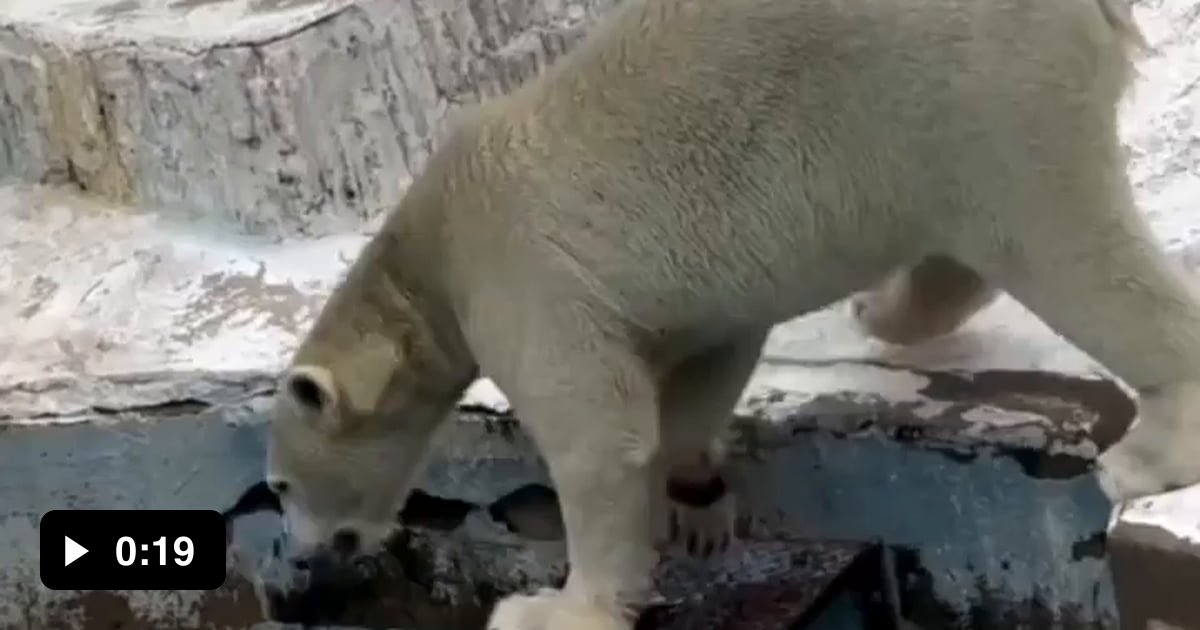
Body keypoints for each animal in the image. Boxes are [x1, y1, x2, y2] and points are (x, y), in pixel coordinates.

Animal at [262, 0, 1198, 627]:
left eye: (280, 483)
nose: (302, 552)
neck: (427, 255)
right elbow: (701, 371)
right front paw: (698, 505)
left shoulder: (519, 278)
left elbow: (597, 439)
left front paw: (549, 607)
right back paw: (884, 307)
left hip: (963, 95)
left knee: (1060, 244)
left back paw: (1147, 452)